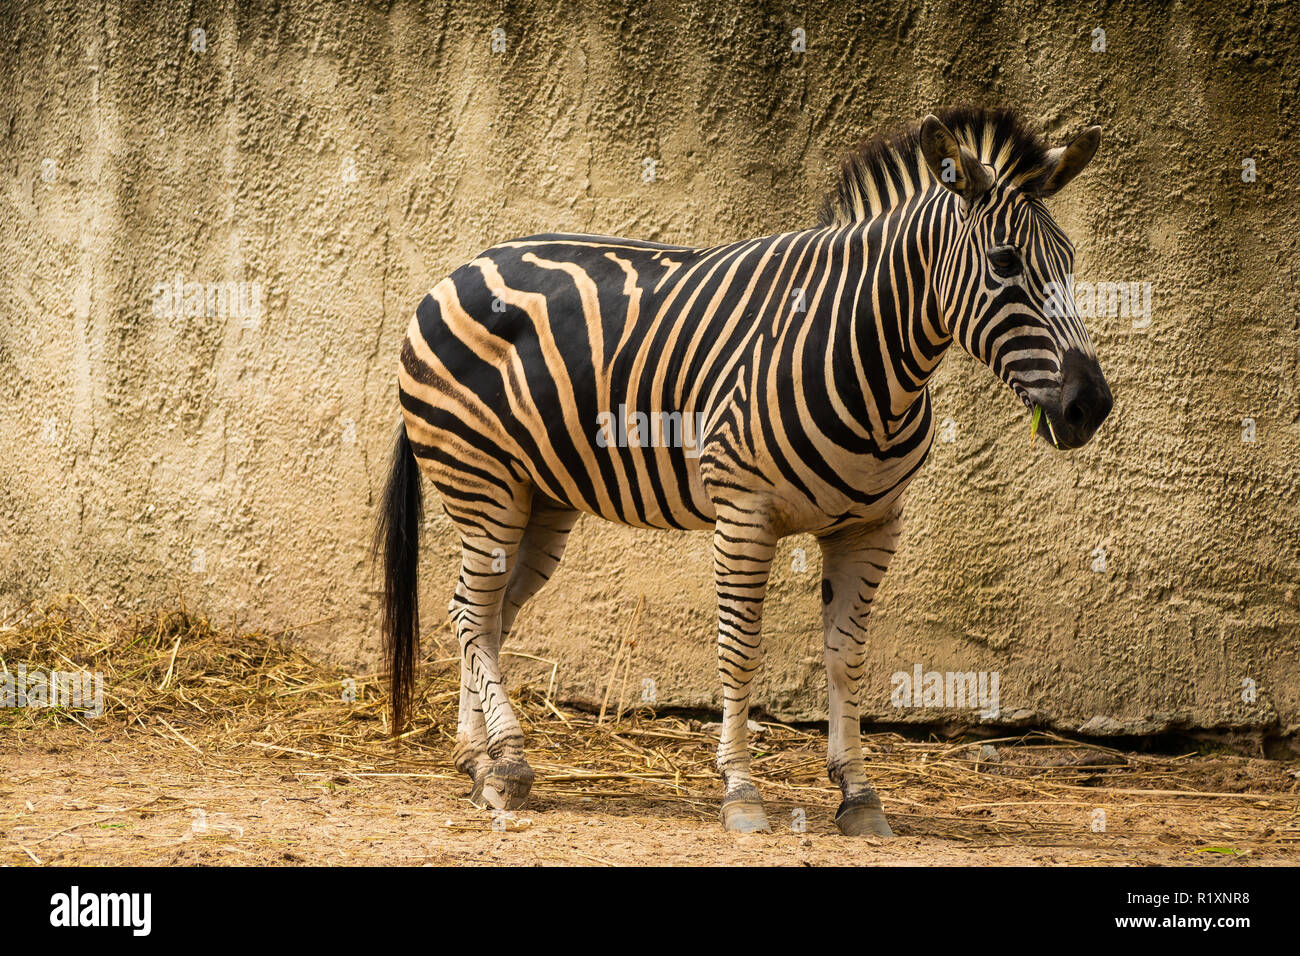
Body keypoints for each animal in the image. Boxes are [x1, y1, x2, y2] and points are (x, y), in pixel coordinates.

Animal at [375, 106, 1112, 836]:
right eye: (1005, 263)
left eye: (1071, 263)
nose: (1092, 406)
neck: (868, 357)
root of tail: (463, 267)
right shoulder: (744, 513)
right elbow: (740, 649)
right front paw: (740, 791)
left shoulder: (872, 525)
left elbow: (847, 655)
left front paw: (858, 794)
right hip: (482, 481)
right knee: (472, 611)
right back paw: (508, 763)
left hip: (541, 496)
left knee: (485, 613)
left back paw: (478, 762)